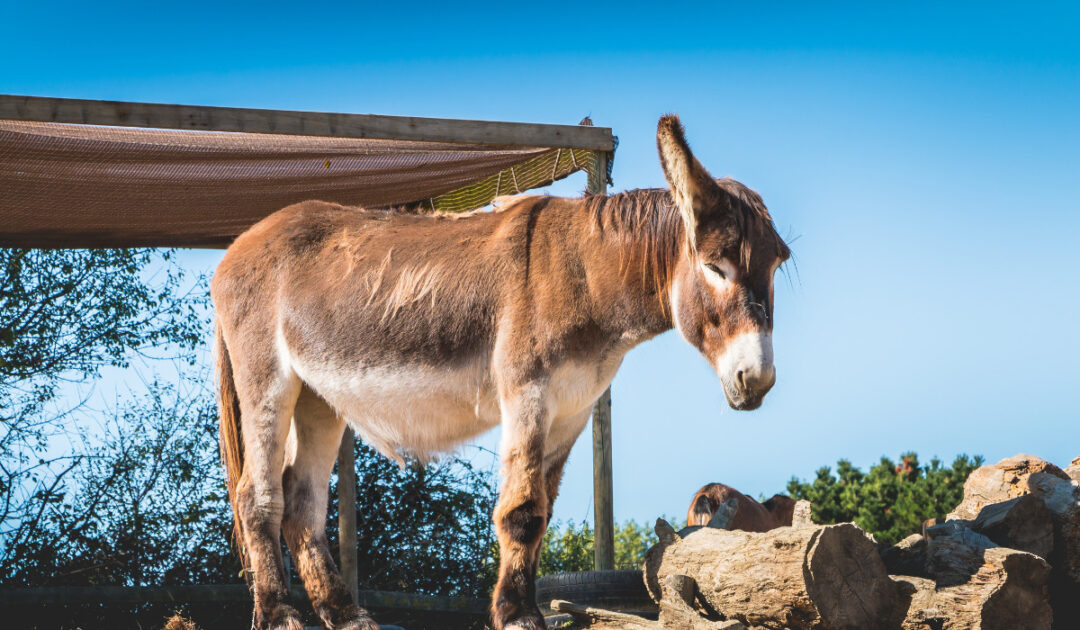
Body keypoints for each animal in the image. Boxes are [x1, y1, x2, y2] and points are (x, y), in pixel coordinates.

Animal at [212, 114, 791, 630]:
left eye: (776, 265)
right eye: (715, 266)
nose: (758, 382)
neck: (585, 274)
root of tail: (240, 244)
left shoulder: (572, 411)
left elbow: (541, 515)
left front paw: (520, 607)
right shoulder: (528, 395)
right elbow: (522, 510)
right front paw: (517, 615)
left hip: (320, 397)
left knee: (302, 505)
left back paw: (345, 615)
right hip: (267, 382)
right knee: (258, 496)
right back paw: (279, 614)